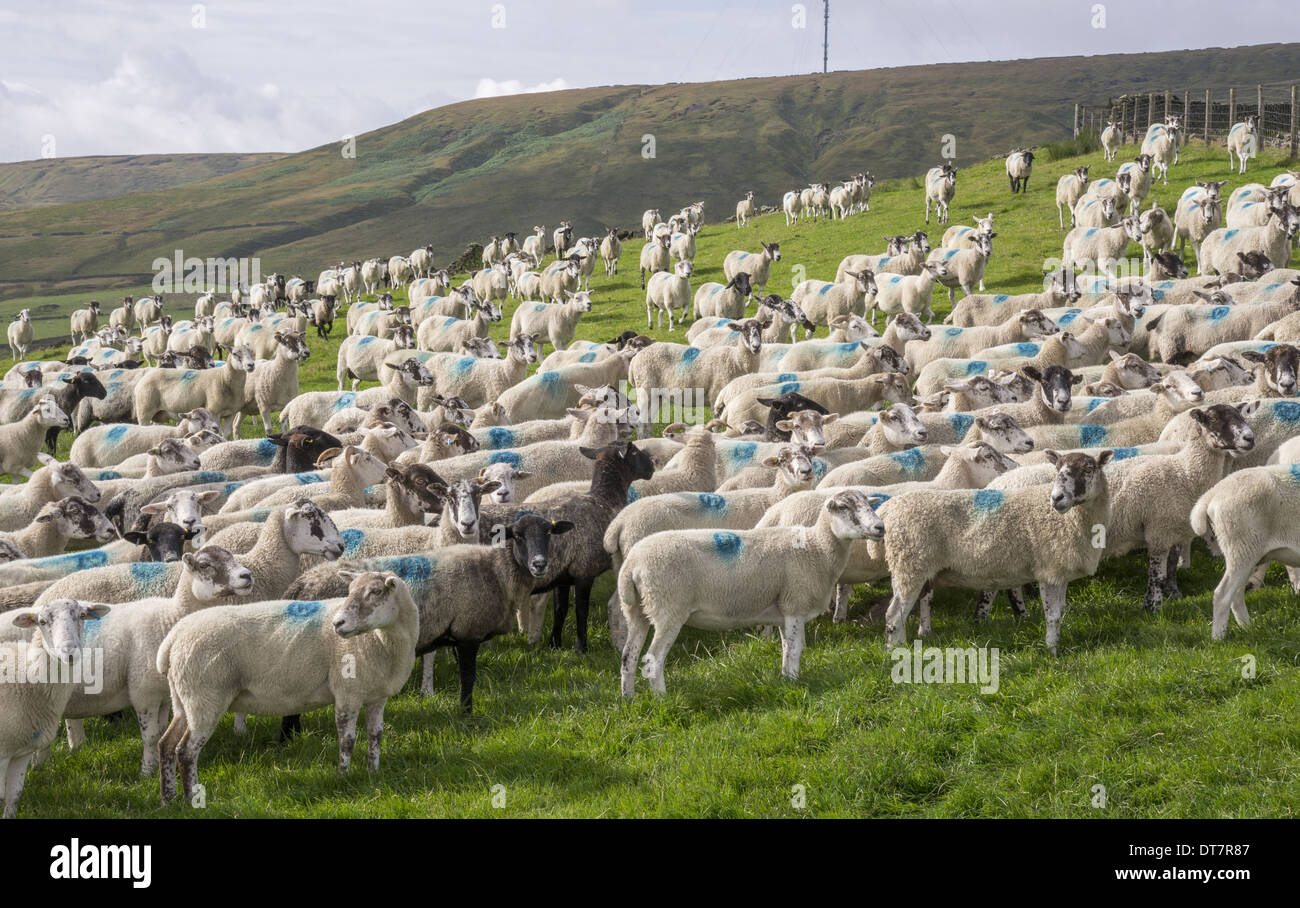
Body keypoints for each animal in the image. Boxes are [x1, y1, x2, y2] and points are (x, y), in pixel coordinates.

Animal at [618, 489, 881, 694]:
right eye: (844, 507)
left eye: (869, 504)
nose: (880, 527)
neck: (817, 548)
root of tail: (631, 564)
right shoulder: (795, 604)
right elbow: (795, 650)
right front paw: (795, 683)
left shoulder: (783, 610)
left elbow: (786, 648)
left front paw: (787, 679)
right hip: (668, 609)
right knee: (653, 659)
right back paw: (661, 698)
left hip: (637, 610)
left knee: (628, 657)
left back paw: (628, 699)